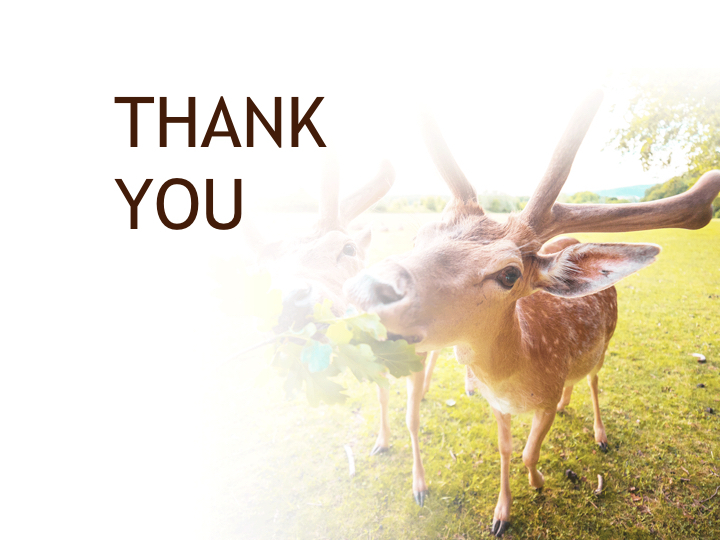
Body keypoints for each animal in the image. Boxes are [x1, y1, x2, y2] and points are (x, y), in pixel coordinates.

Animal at [344, 89, 720, 537]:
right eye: (419, 237)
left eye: (509, 274)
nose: (367, 289)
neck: (516, 376)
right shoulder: (496, 403)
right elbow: (506, 450)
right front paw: (501, 513)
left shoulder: (544, 394)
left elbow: (529, 452)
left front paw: (538, 484)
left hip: (607, 339)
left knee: (594, 379)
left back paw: (600, 433)